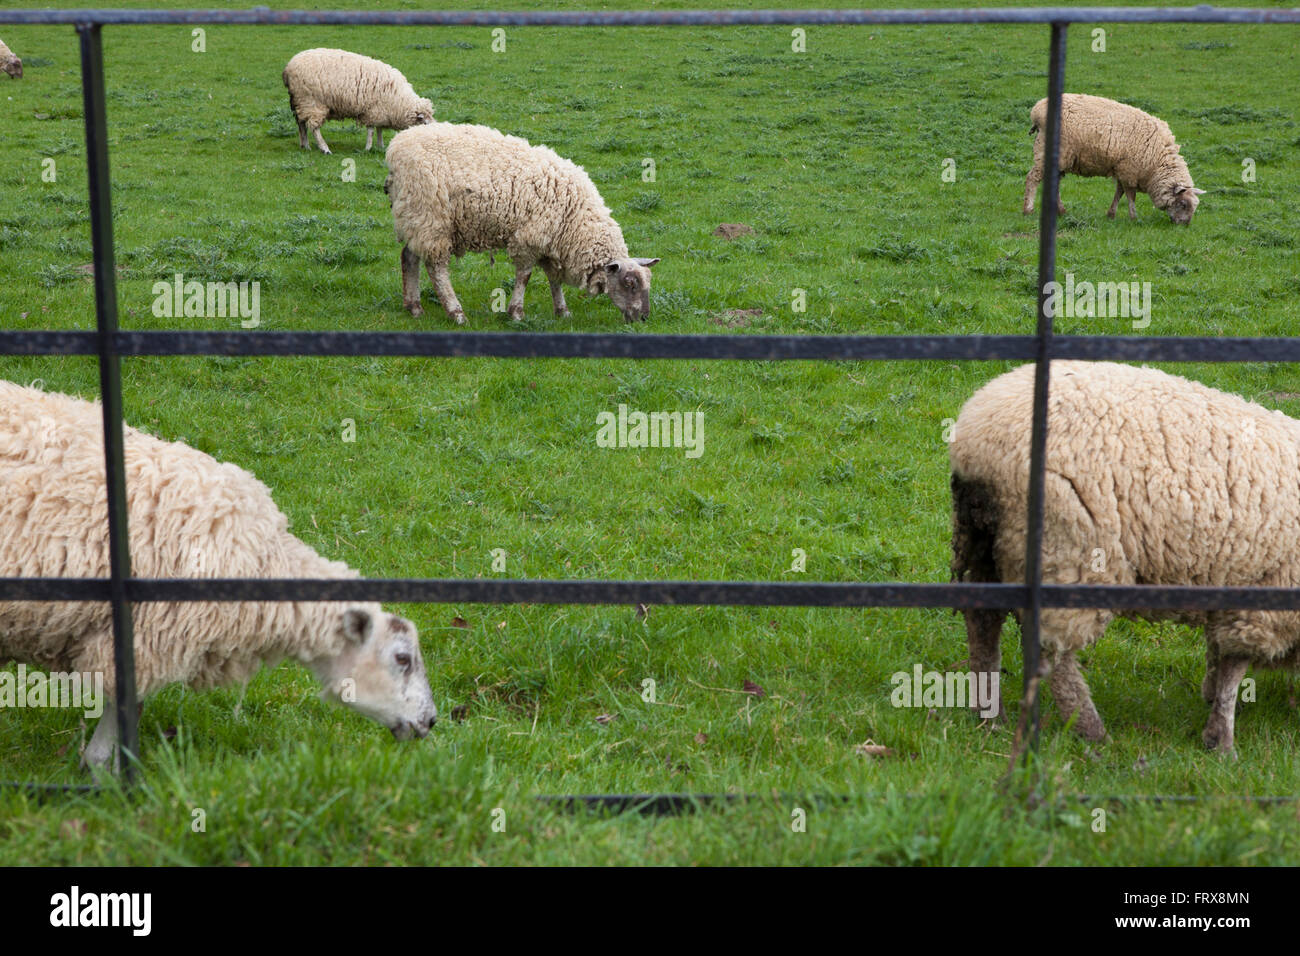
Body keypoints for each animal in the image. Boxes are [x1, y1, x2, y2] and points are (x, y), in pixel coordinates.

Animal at [0, 380, 438, 770]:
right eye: (402, 659)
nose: (431, 720)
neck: (264, 561)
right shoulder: (144, 639)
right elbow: (127, 707)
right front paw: (102, 769)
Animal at [282, 48, 433, 154]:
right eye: (425, 123)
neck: (400, 100)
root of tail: (288, 68)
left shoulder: (380, 111)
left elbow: (379, 129)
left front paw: (381, 146)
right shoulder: (372, 111)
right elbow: (371, 131)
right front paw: (368, 148)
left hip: (300, 101)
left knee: (301, 124)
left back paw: (305, 146)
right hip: (312, 101)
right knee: (314, 127)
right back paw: (325, 149)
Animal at [384, 121, 660, 325]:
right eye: (629, 283)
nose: (643, 318)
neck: (575, 218)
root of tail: (396, 147)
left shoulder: (550, 243)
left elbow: (554, 279)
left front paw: (562, 311)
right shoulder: (530, 238)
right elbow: (525, 276)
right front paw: (516, 312)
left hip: (416, 217)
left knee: (409, 257)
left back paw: (414, 307)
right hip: (432, 216)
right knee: (436, 268)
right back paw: (456, 312)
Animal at [950, 361, 1300, 754]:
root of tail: (976, 441)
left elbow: (1218, 653)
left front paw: (1209, 695)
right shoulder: (1267, 597)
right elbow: (1233, 667)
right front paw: (1221, 739)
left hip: (988, 543)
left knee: (983, 621)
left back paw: (990, 715)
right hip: (1068, 551)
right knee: (1052, 653)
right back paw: (1090, 730)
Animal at [1022, 93, 1204, 225]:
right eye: (1183, 204)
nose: (1185, 225)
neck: (1157, 164)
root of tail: (1037, 111)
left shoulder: (1122, 169)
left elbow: (1119, 192)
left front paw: (1111, 214)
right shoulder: (1130, 169)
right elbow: (1130, 195)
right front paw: (1133, 217)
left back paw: (1060, 211)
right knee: (1033, 178)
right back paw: (1028, 210)